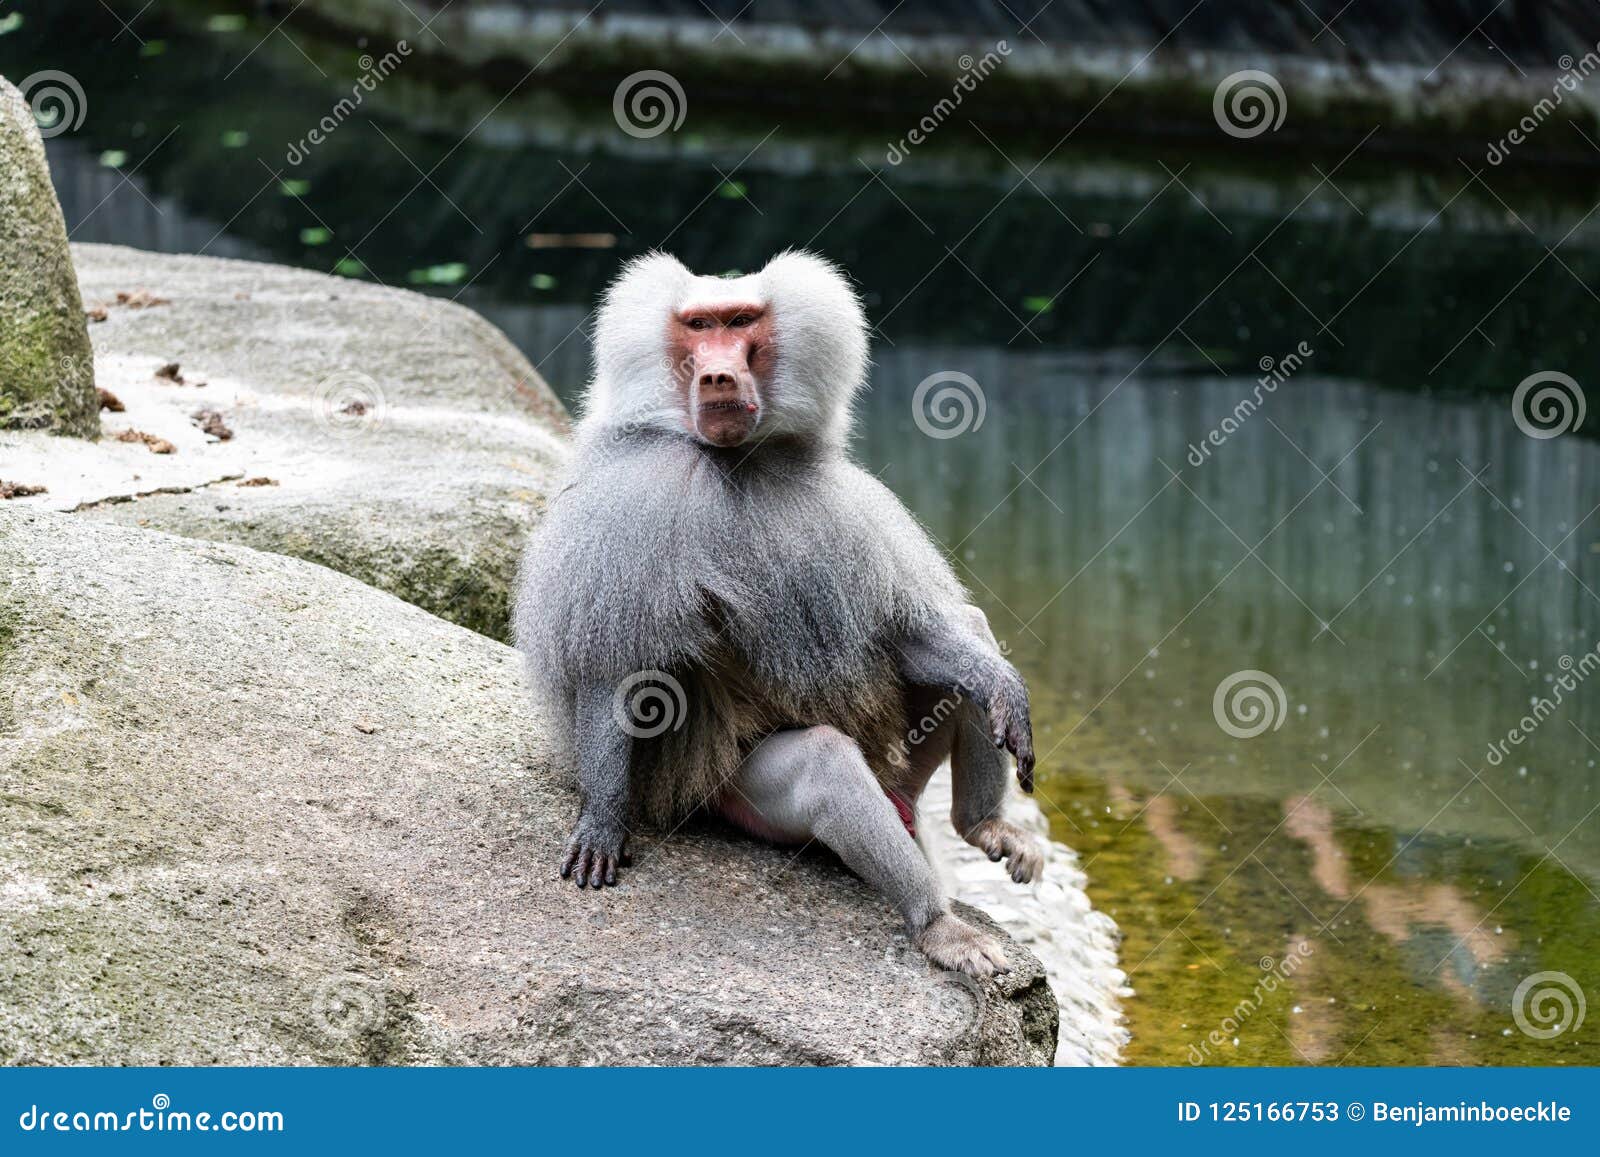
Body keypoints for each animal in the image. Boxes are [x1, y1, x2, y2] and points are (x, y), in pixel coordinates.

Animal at [513, 250, 1044, 976]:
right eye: (698, 325)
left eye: (740, 322)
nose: (716, 373)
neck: (736, 462)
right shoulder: (632, 504)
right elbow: (619, 666)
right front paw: (603, 818)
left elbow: (904, 634)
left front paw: (1003, 690)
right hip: (732, 795)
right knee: (826, 766)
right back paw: (938, 924)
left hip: (898, 769)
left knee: (968, 635)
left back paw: (983, 824)